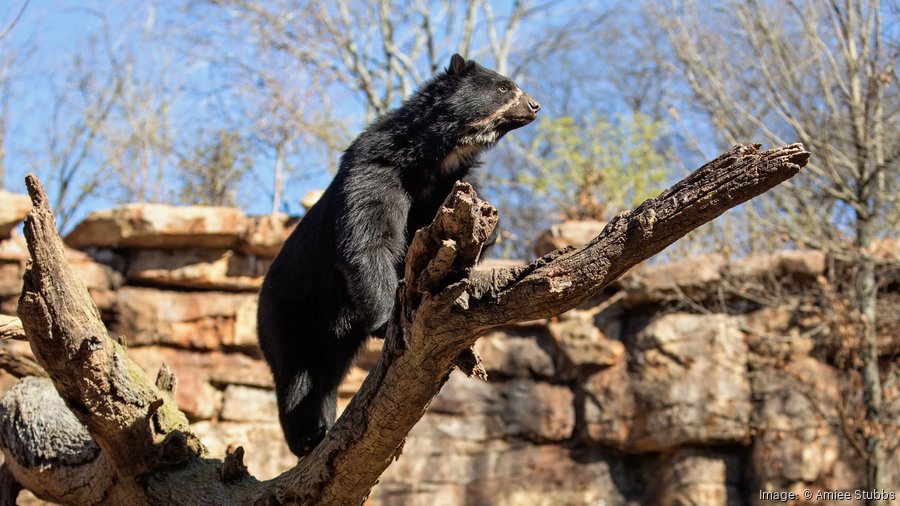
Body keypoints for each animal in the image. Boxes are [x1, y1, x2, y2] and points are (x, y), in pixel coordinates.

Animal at [257, 53, 541, 457]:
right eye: (504, 87)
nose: (534, 105)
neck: (436, 157)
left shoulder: (445, 186)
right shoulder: (376, 168)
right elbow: (368, 240)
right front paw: (385, 320)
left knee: (326, 375)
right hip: (290, 308)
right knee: (297, 372)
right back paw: (308, 438)